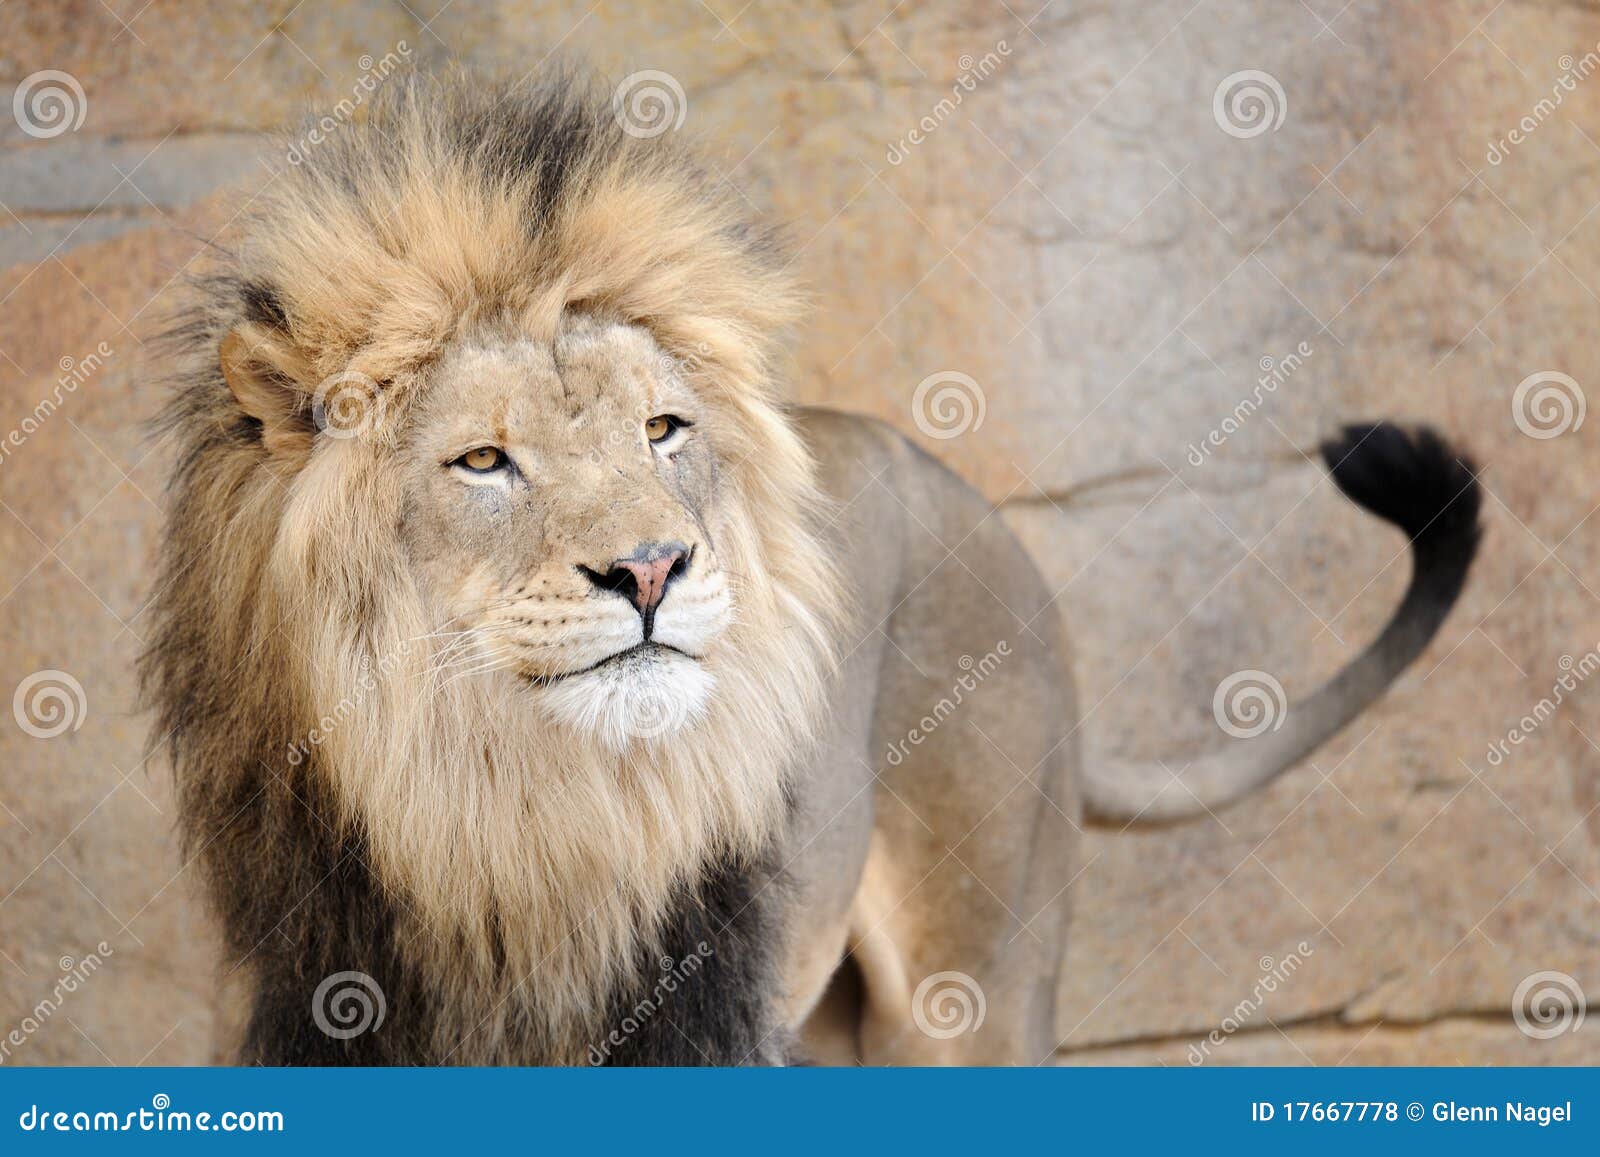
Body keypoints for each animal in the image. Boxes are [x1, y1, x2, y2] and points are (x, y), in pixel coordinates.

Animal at [144, 72, 1481, 1065]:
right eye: (483, 459)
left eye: (660, 430)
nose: (651, 567)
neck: (516, 822)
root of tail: (992, 525)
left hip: (970, 979)